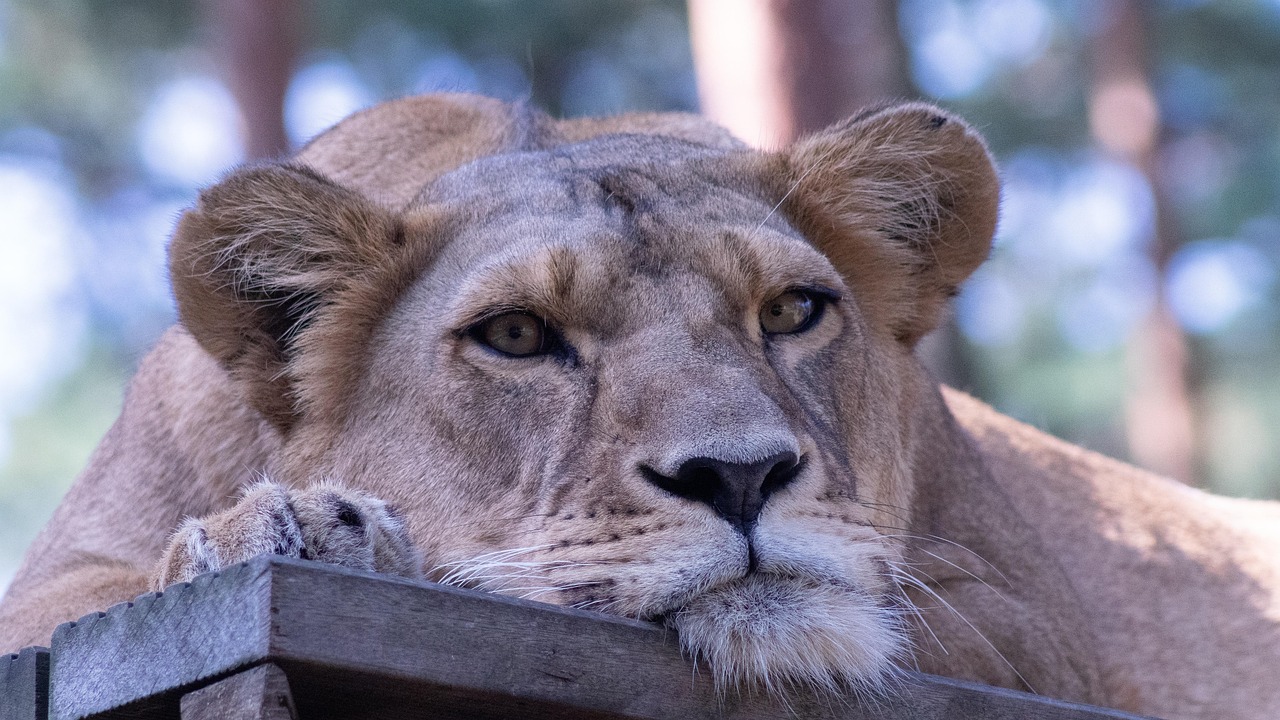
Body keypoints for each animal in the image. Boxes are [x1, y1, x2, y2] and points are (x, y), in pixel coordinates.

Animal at [1, 93, 1278, 720]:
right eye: (518, 336)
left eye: (793, 311)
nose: (740, 476)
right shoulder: (57, 588)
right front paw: (291, 526)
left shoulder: (1034, 625)